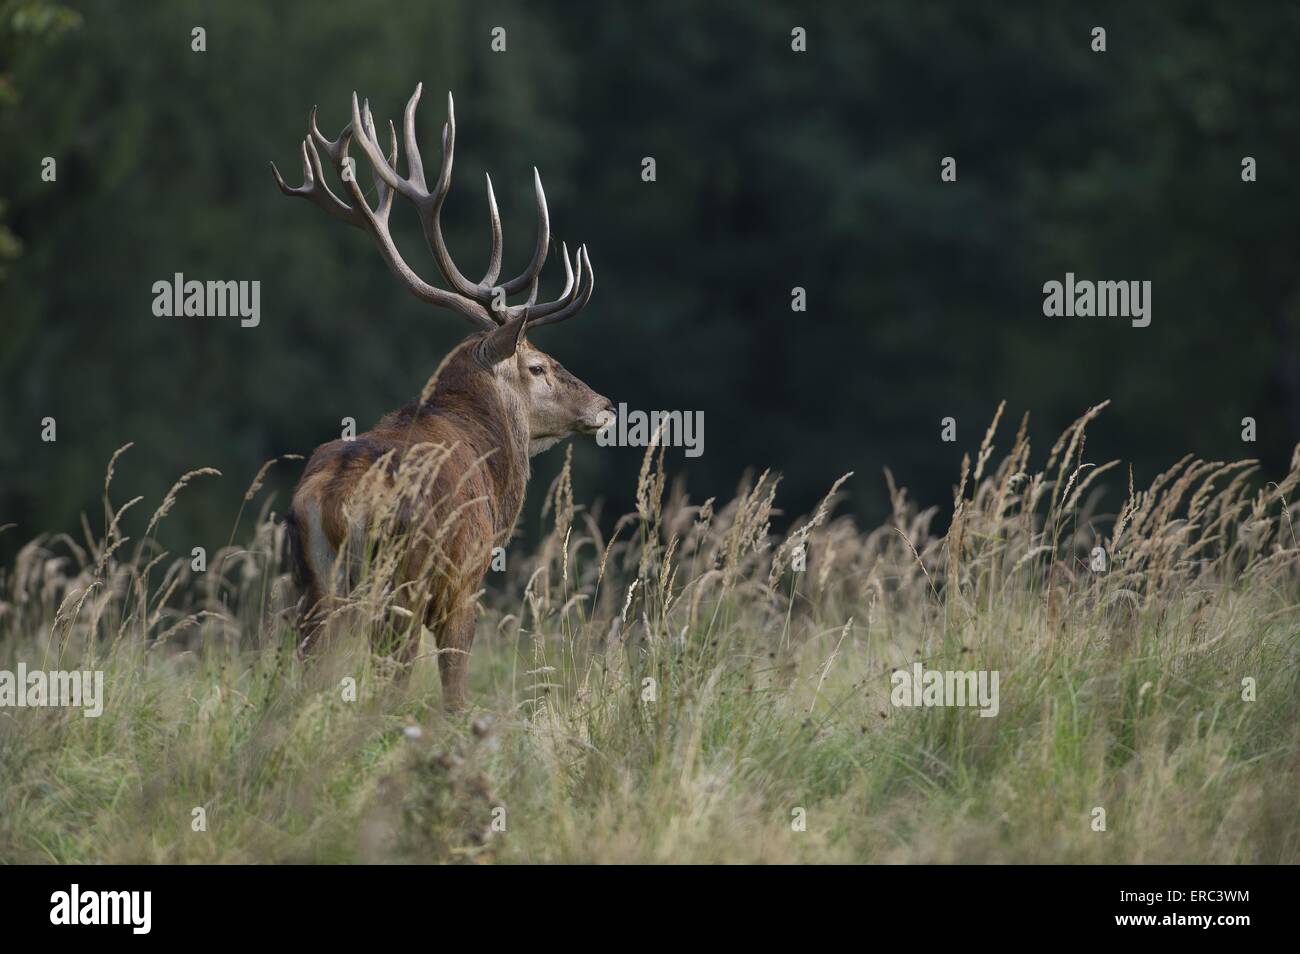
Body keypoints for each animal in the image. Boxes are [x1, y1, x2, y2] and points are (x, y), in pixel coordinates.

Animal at [271, 85, 613, 710]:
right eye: (538, 366)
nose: (604, 405)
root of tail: (330, 499)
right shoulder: (466, 585)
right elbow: (455, 689)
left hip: (309, 594)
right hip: (398, 588)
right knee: (388, 682)